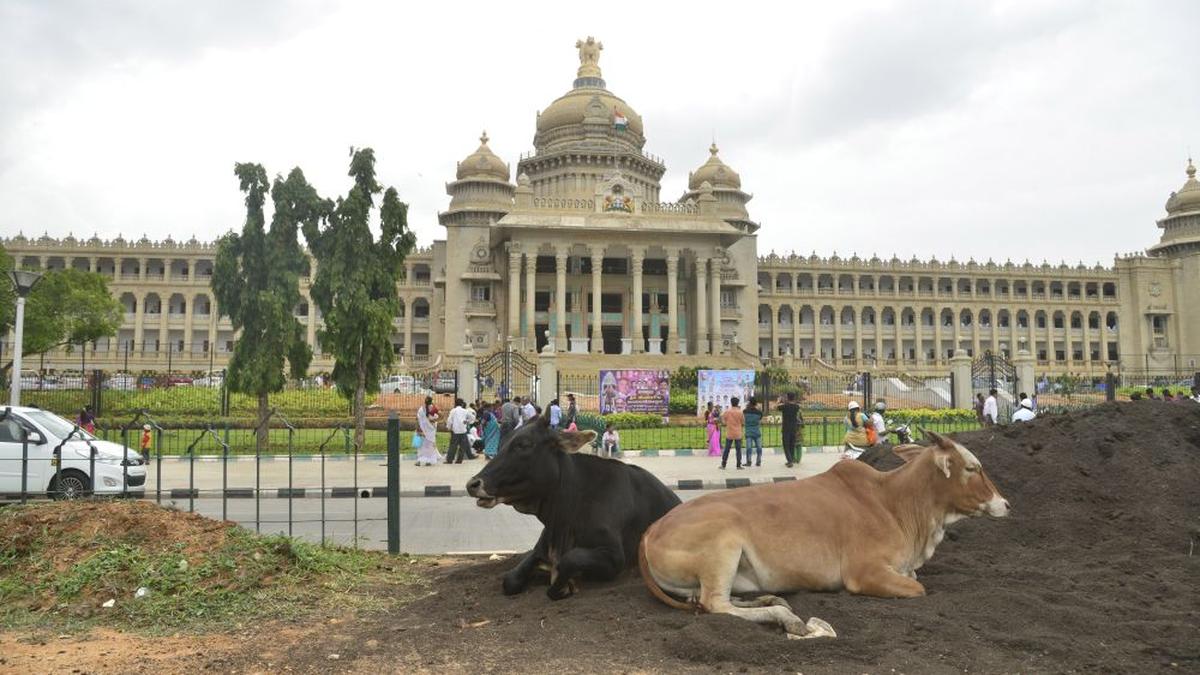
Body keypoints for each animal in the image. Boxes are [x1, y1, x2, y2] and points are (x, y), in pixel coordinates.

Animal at [466, 411, 681, 600]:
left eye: (524, 444)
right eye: (502, 443)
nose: (473, 484)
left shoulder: (614, 557)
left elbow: (568, 564)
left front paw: (564, 586)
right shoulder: (540, 549)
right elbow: (510, 580)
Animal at [638, 430, 1010, 639]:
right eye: (972, 468)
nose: (1005, 504)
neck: (894, 502)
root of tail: (650, 531)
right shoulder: (865, 573)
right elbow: (919, 588)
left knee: (715, 600)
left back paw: (770, 600)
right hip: (723, 545)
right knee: (716, 604)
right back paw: (787, 618)